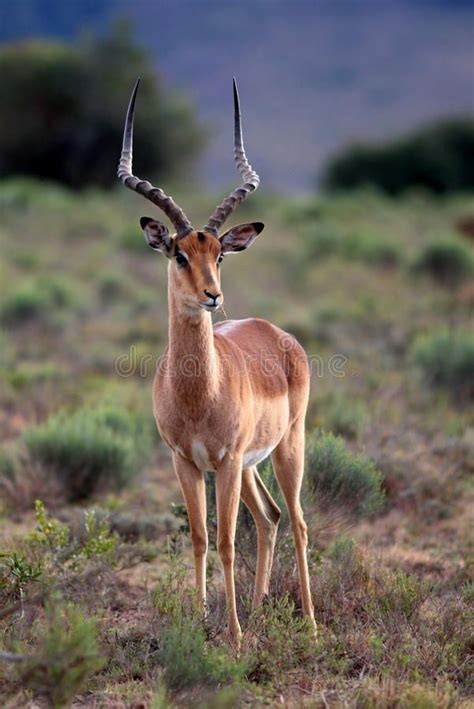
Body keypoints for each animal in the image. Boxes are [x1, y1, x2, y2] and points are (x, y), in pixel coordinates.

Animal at [117, 78, 316, 646]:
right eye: (179, 253)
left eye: (220, 254)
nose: (212, 296)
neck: (196, 394)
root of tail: (277, 334)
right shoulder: (186, 462)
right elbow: (201, 539)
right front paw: (204, 621)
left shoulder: (223, 462)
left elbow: (227, 542)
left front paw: (232, 636)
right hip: (249, 465)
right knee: (269, 518)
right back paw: (259, 608)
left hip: (286, 447)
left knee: (297, 522)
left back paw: (310, 624)